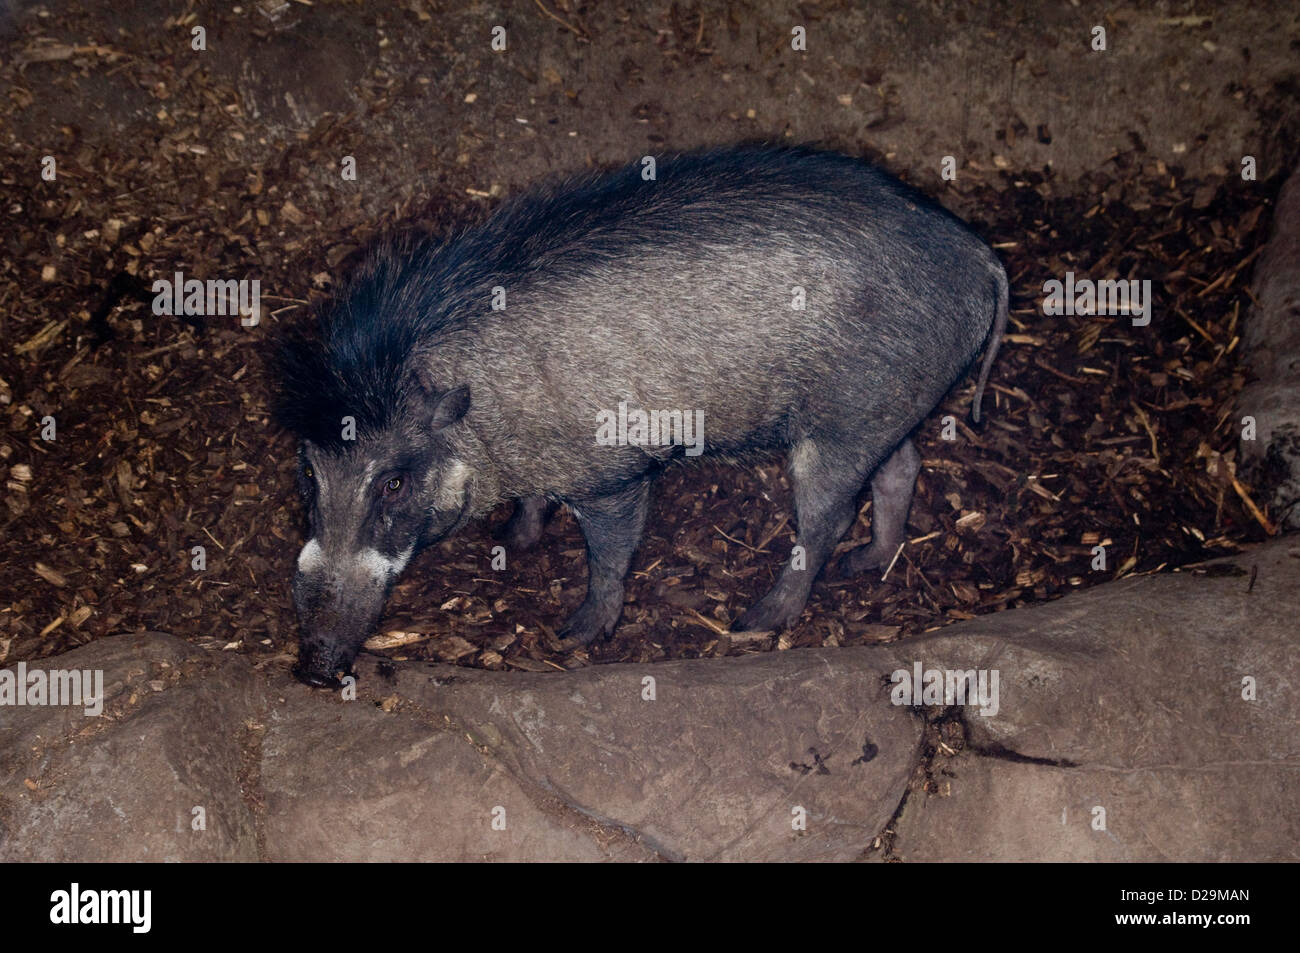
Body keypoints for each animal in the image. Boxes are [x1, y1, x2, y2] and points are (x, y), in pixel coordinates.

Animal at [275, 145, 1008, 686]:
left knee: (828, 518)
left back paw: (755, 622)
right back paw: (867, 563)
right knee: (902, 466)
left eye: (393, 481)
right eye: (310, 473)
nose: (313, 670)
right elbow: (537, 505)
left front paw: (574, 635)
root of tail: (979, 256)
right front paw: (516, 542)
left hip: (834, 429)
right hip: (875, 412)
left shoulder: (613, 473)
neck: (480, 411)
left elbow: (610, 555)